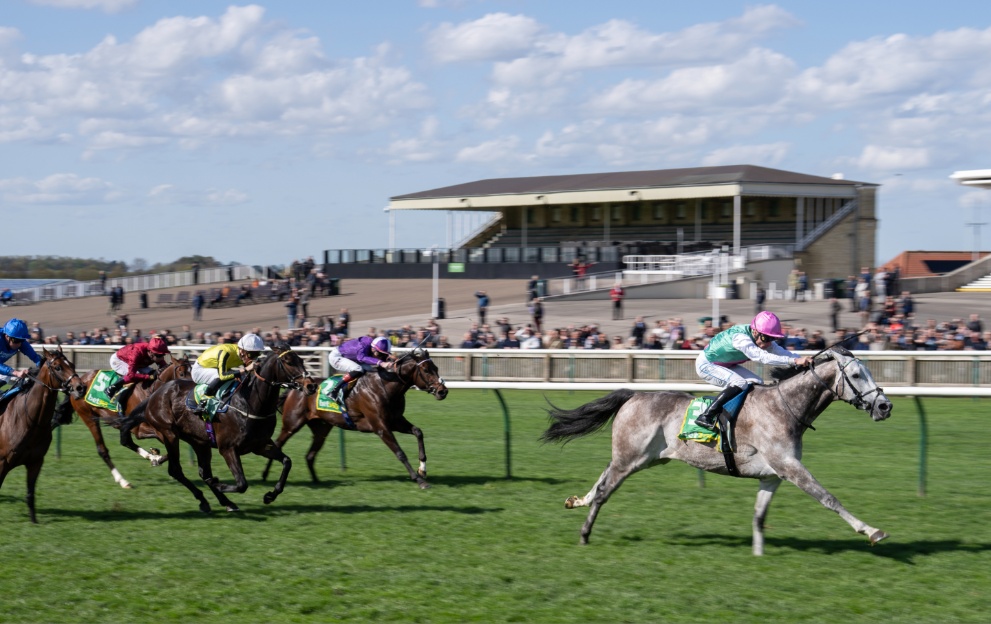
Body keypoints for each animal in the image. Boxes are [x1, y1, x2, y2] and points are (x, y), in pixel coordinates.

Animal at [0, 346, 86, 523]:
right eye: (58, 367)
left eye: (72, 364)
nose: (80, 388)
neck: (30, 420)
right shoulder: (2, 461)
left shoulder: (36, 461)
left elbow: (30, 493)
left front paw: (34, 521)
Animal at [54, 353, 192, 489]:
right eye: (181, 373)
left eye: (192, 371)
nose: (189, 390)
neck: (151, 391)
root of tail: (78, 383)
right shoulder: (140, 429)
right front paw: (156, 458)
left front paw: (156, 456)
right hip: (89, 417)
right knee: (103, 449)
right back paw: (123, 481)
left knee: (126, 441)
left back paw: (150, 457)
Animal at [117, 343, 317, 513]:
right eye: (288, 361)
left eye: (301, 360)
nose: (311, 386)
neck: (250, 402)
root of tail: (155, 394)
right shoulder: (228, 448)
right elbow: (241, 483)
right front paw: (220, 484)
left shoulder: (260, 445)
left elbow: (287, 462)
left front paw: (270, 495)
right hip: (169, 434)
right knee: (176, 470)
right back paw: (204, 498)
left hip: (199, 442)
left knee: (203, 472)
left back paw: (225, 502)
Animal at [261, 346, 448, 489]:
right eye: (426, 370)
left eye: (437, 369)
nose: (443, 391)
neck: (385, 385)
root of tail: (296, 388)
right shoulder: (380, 426)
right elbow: (400, 453)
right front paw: (419, 480)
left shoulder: (395, 421)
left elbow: (418, 432)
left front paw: (422, 469)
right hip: (292, 424)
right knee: (277, 443)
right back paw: (265, 475)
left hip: (322, 428)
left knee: (310, 455)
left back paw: (316, 481)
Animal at [541, 346, 893, 555]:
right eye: (857, 374)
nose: (885, 406)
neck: (784, 408)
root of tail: (634, 394)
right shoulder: (790, 467)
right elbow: (829, 498)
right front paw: (872, 531)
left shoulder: (773, 475)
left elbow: (759, 516)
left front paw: (758, 553)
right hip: (631, 458)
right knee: (605, 491)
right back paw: (585, 534)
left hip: (638, 458)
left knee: (602, 478)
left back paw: (577, 501)